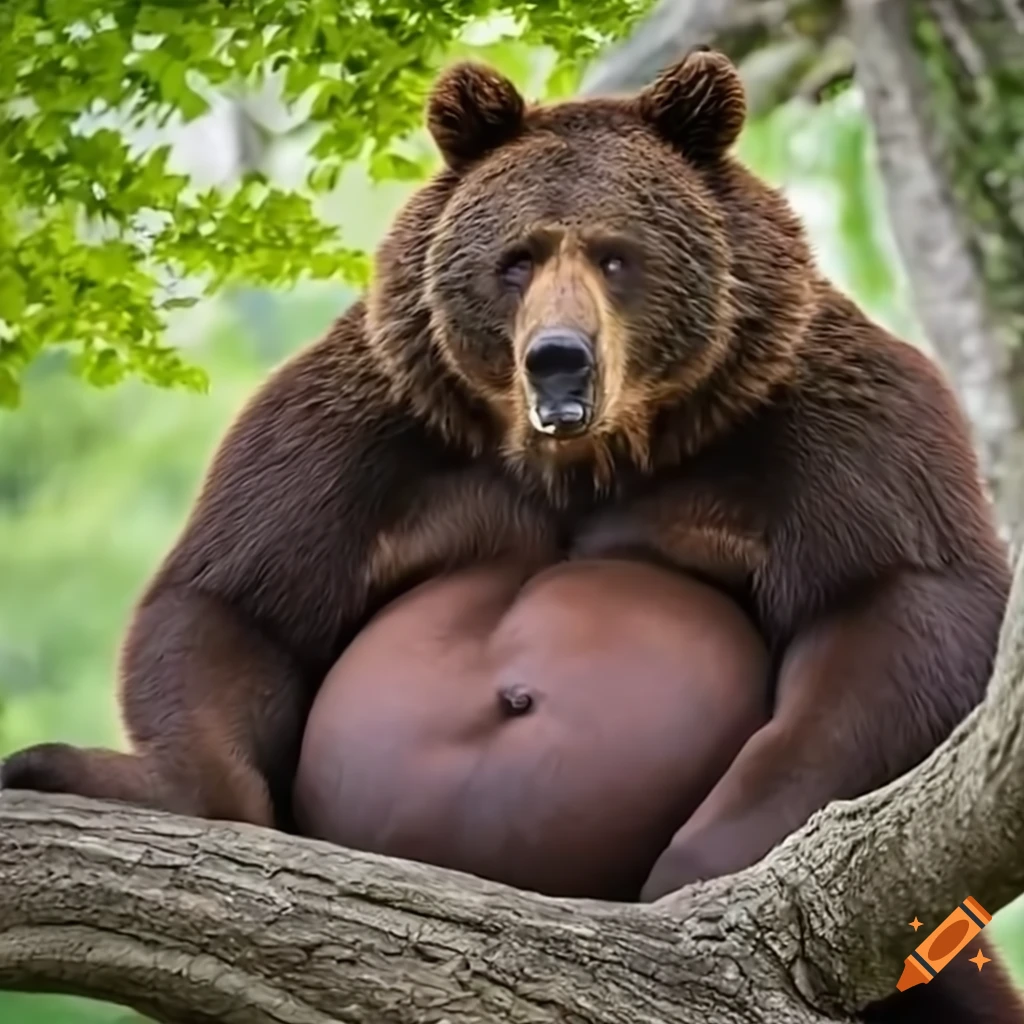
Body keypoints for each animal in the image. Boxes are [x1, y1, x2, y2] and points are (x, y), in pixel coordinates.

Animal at [2, 47, 1018, 1021]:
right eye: (517, 258)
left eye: (615, 256)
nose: (558, 358)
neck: (592, 457)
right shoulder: (367, 423)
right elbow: (238, 604)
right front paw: (89, 772)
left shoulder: (831, 422)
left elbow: (890, 605)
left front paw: (695, 872)